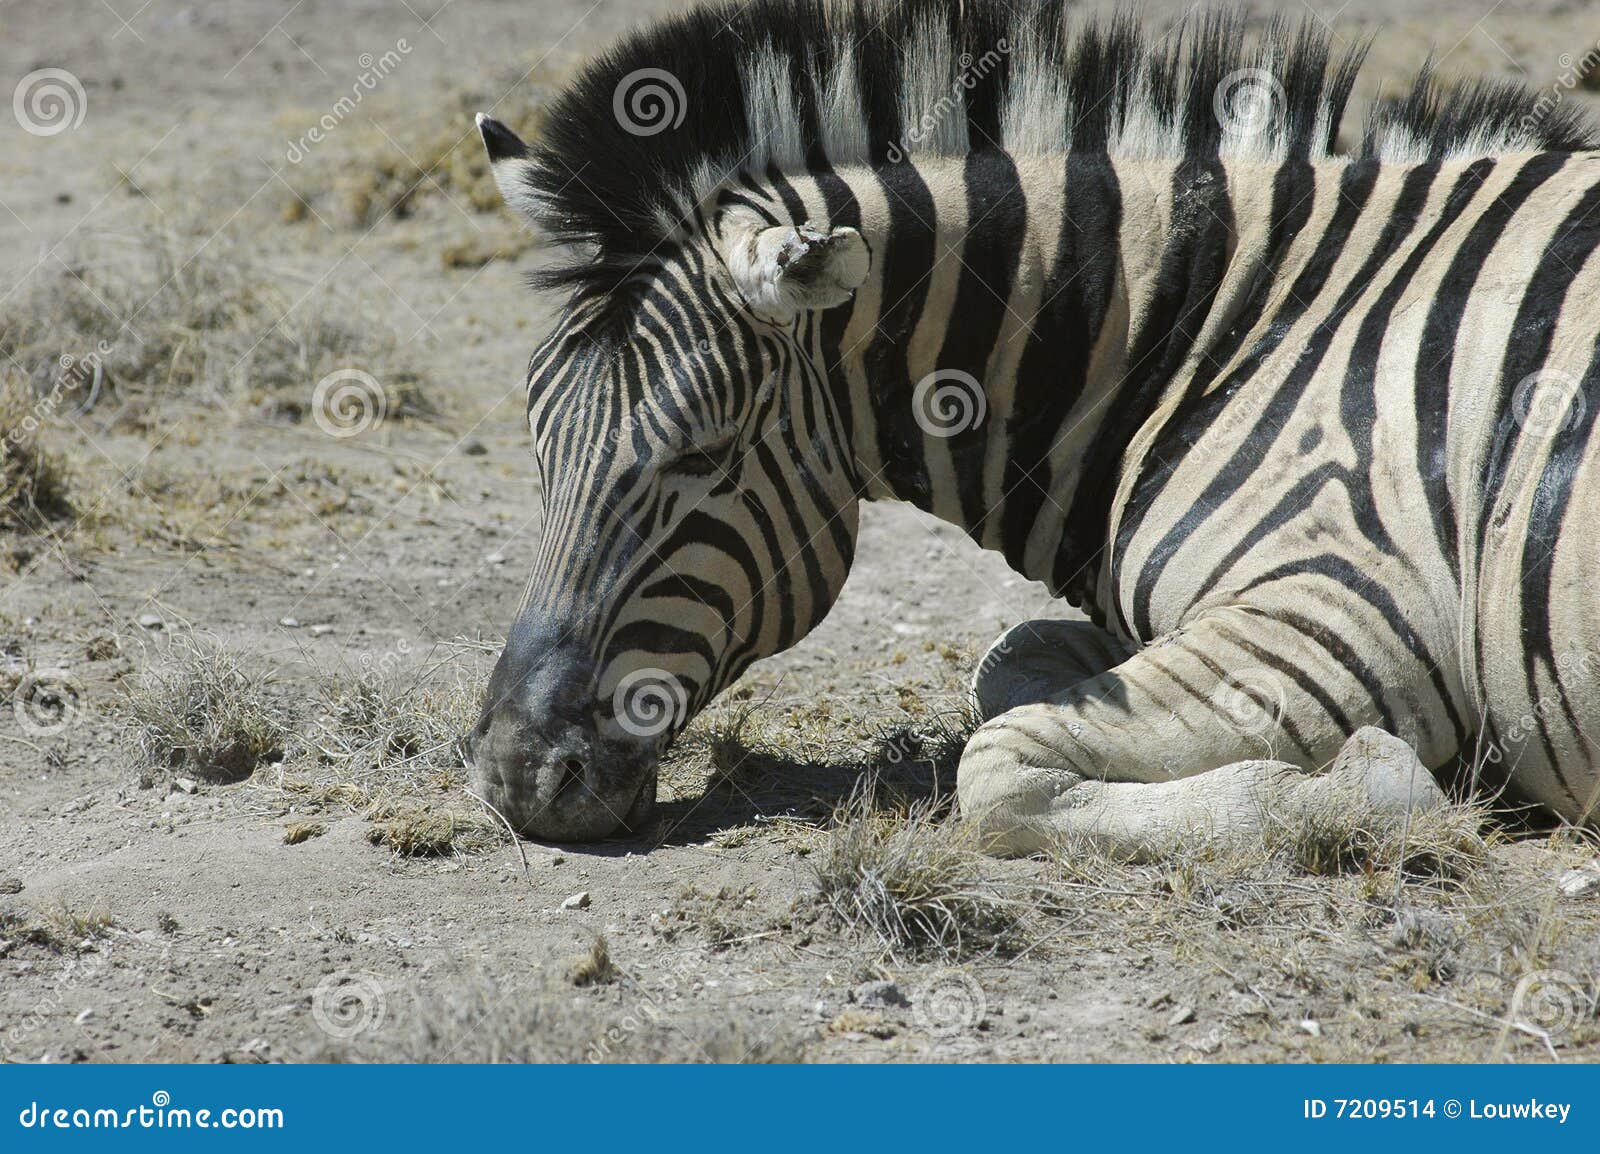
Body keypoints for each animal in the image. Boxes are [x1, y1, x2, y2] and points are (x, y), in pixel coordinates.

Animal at [461, 0, 1600, 854]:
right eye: (537, 446)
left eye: (701, 456)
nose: (511, 776)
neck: (1222, 322)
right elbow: (1006, 663)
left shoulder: (1342, 605)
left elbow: (998, 766)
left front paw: (1376, 778)